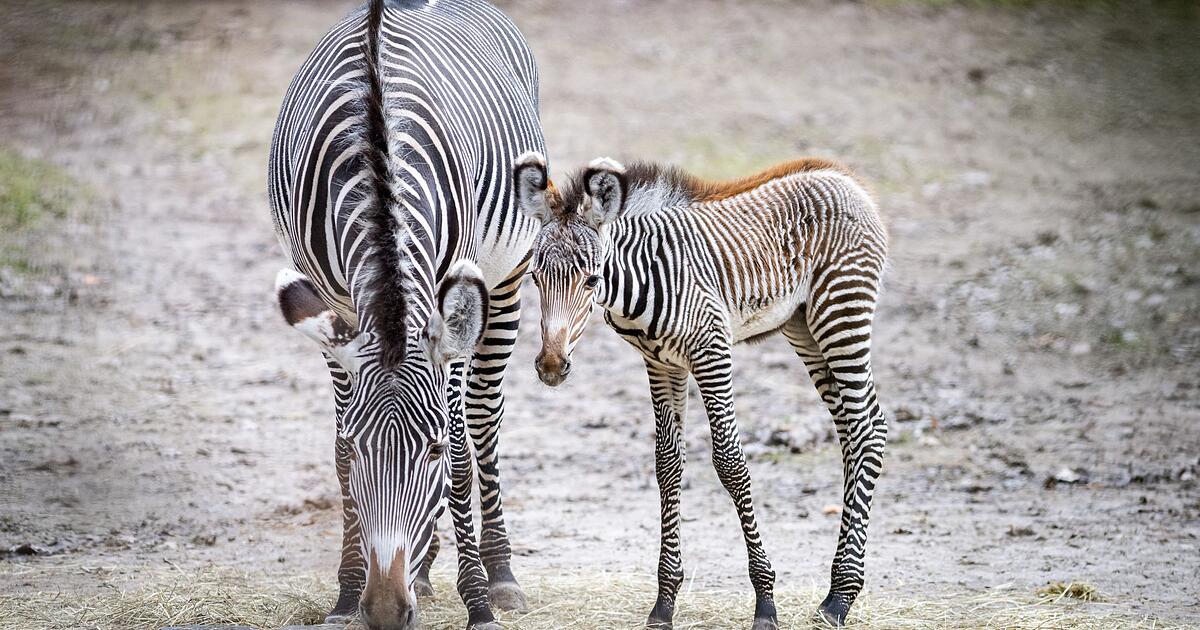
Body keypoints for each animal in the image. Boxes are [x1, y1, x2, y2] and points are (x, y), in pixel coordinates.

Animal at [268, 1, 543, 628]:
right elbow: (337, 454)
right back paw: (422, 569)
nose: (388, 611)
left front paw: (478, 601)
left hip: (506, 284)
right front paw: (347, 596)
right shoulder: (337, 307)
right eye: (360, 449)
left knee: (484, 422)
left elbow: (463, 453)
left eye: (433, 450)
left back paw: (501, 574)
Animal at [514, 152, 889, 628]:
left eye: (591, 281)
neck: (642, 276)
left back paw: (839, 597)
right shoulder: (661, 363)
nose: (550, 366)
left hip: (842, 311)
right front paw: (664, 603)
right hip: (803, 325)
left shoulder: (711, 352)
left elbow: (730, 463)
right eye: (535, 279)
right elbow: (668, 465)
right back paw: (839, 591)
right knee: (854, 431)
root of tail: (842, 177)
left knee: (867, 430)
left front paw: (765, 601)